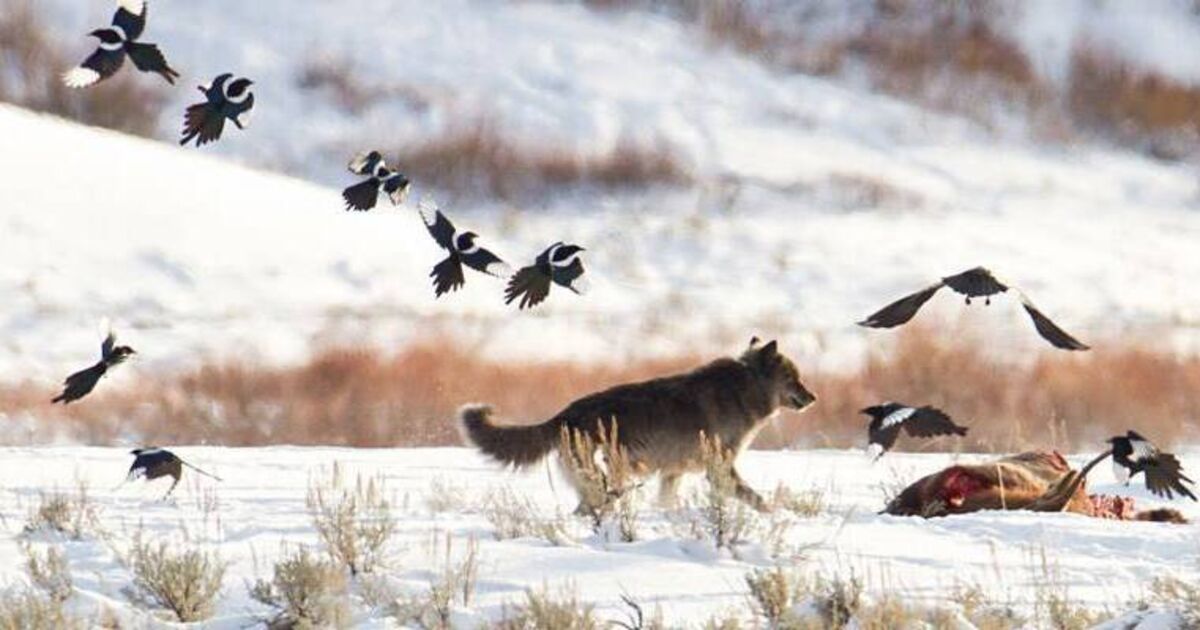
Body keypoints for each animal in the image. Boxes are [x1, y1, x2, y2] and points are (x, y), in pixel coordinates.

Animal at [459, 338, 817, 511]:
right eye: (794, 378)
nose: (814, 398)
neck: (745, 387)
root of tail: (563, 415)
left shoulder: (673, 474)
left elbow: (667, 504)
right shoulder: (719, 471)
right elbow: (759, 502)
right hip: (606, 484)